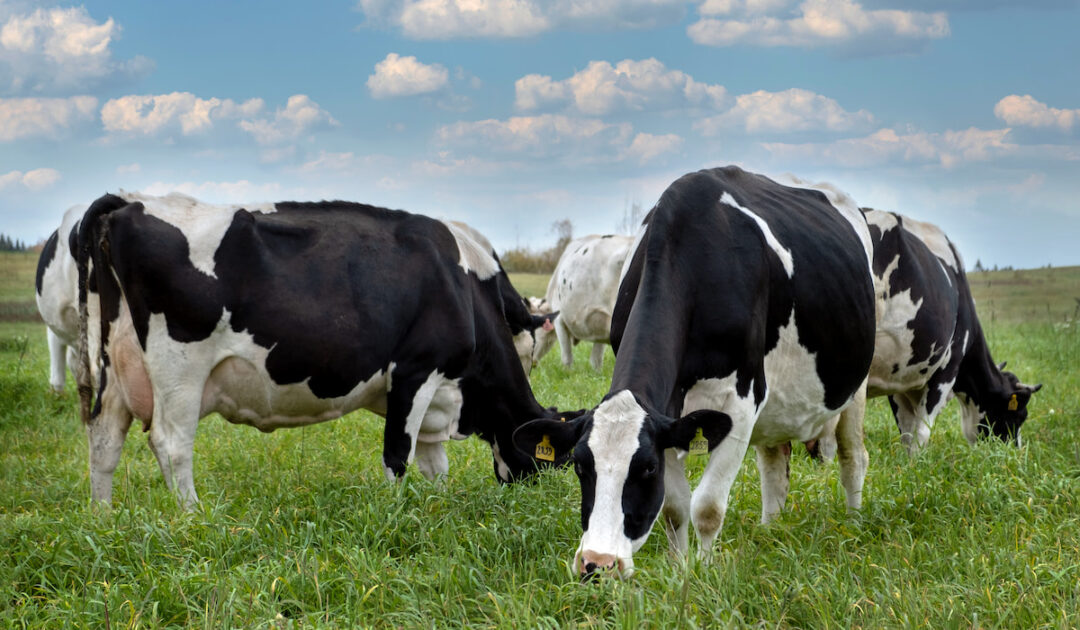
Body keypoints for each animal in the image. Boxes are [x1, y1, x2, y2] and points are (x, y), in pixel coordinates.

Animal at [75, 191, 575, 507]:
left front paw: (434, 505)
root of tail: (127, 204)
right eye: (547, 462)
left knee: (104, 438)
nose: (528, 495)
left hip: (115, 364)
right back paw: (192, 516)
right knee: (172, 442)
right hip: (179, 367)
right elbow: (398, 455)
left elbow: (435, 465)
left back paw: (104, 520)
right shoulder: (416, 372)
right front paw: (396, 512)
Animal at [531, 234, 635, 371]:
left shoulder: (560, 319)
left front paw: (567, 373)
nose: (532, 363)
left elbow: (566, 357)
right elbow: (595, 360)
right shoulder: (601, 324)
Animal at [863, 208, 1042, 451]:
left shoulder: (899, 376)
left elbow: (906, 431)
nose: (1013, 453)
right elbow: (921, 432)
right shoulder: (946, 370)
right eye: (1019, 415)